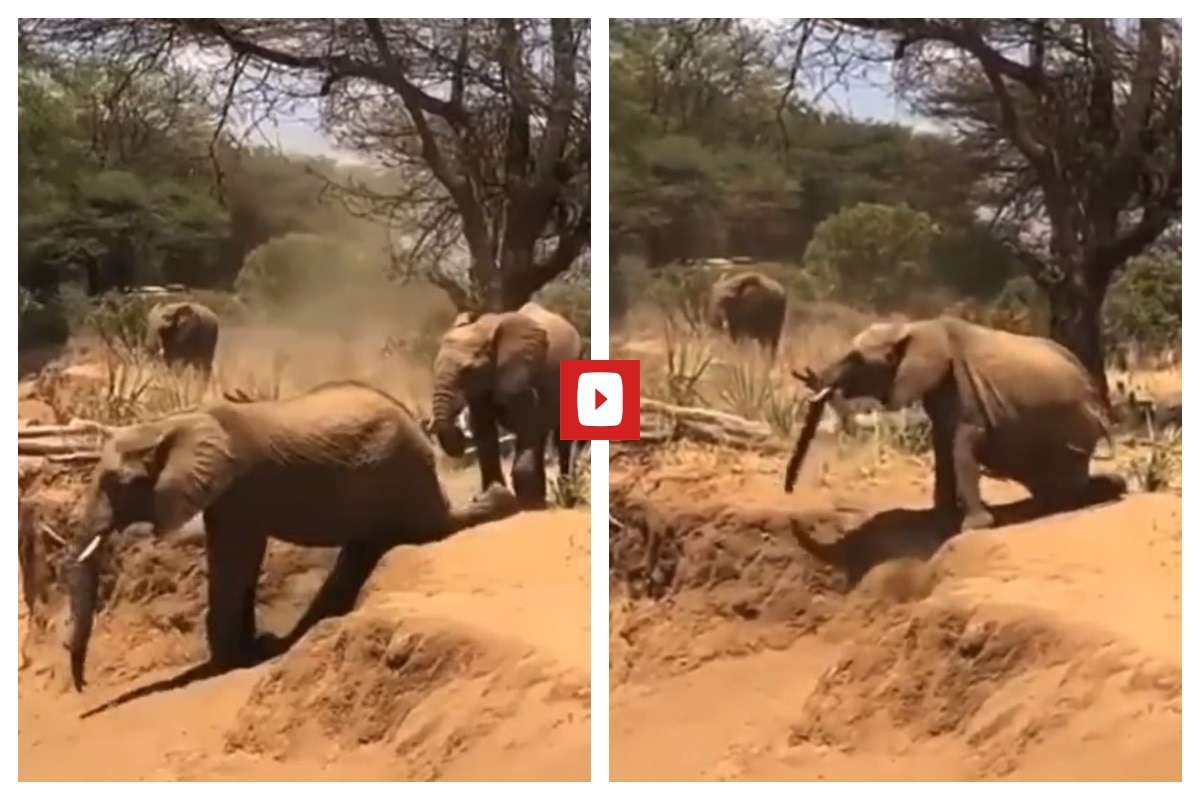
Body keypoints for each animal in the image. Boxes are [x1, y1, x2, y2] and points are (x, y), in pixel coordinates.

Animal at [63, 380, 520, 692]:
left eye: (117, 483)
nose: (83, 686)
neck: (170, 425)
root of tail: (416, 424)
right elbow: (241, 562)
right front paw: (253, 648)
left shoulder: (240, 487)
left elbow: (236, 559)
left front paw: (234, 659)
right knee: (363, 551)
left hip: (398, 472)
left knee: (426, 529)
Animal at [430, 301, 584, 510]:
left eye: (468, 371)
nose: (460, 439)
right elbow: (484, 431)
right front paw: (493, 497)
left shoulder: (520, 375)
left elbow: (527, 422)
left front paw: (528, 503)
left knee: (559, 440)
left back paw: (565, 498)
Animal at [784, 316, 1127, 532]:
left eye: (854, 358)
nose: (789, 490)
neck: (912, 328)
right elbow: (943, 443)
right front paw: (942, 517)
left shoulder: (964, 388)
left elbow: (963, 442)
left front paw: (974, 526)